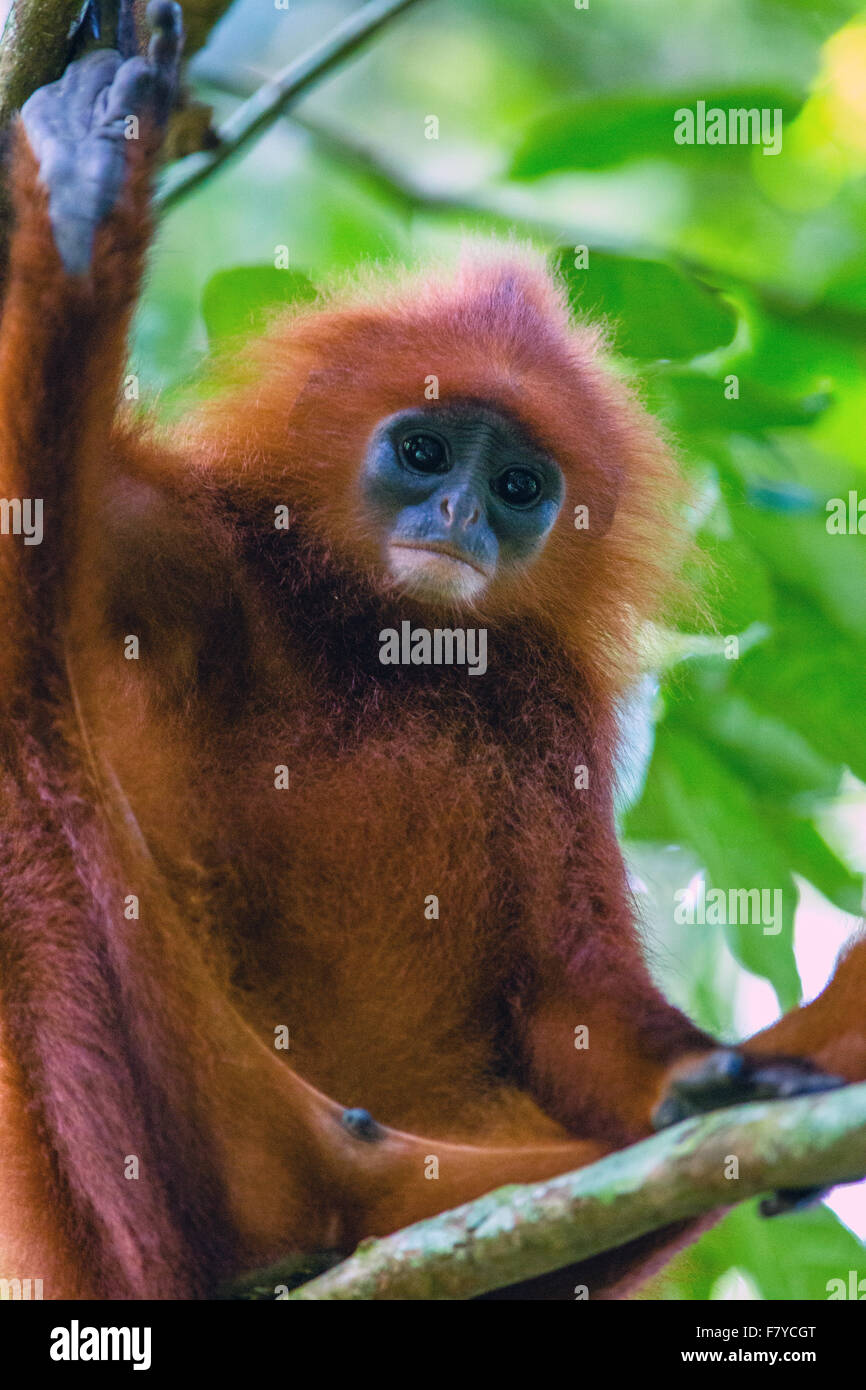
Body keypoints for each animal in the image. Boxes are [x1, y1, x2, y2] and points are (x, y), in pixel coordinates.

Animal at [0, 2, 863, 1301]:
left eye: (515, 485)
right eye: (422, 452)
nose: (457, 515)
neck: (380, 638)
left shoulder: (553, 710)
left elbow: (568, 1003)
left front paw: (697, 1078)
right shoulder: (188, 545)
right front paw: (90, 187)